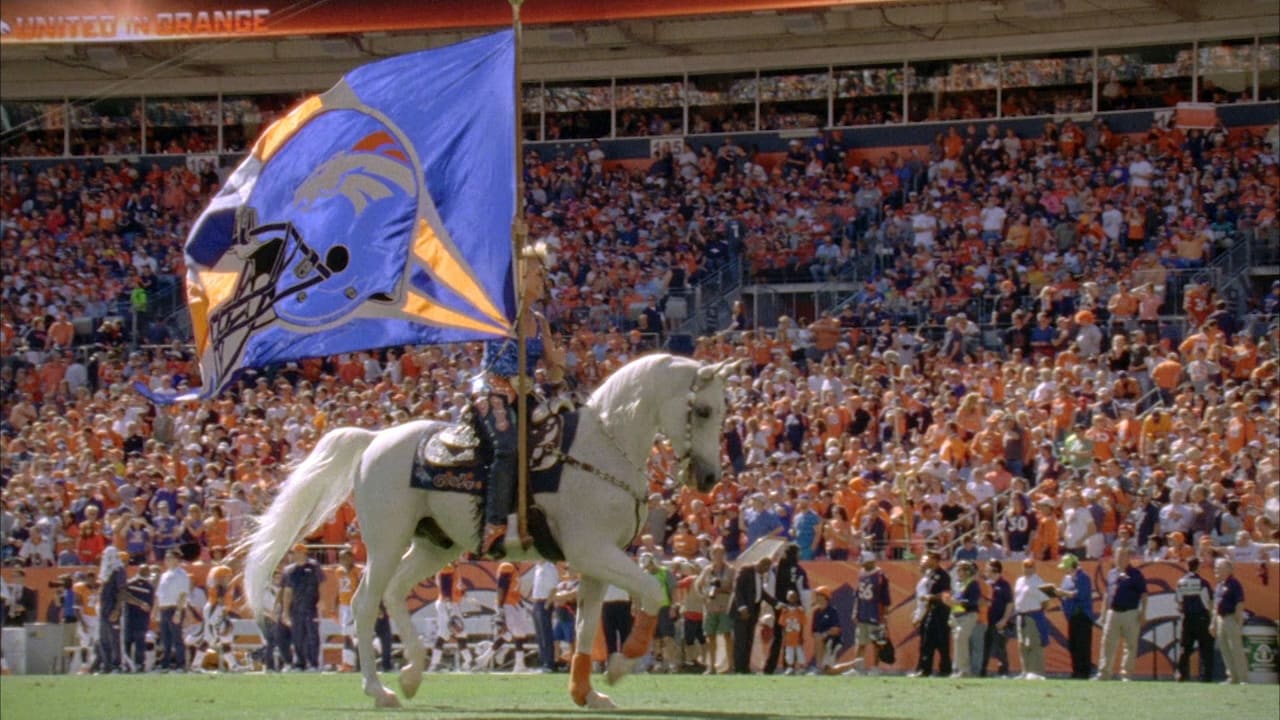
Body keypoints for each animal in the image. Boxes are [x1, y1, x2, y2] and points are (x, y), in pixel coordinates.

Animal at [240, 353, 742, 707]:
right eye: (701, 410)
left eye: (723, 410)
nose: (709, 478)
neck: (603, 448)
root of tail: (374, 440)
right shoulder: (592, 551)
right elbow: (652, 592)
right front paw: (619, 667)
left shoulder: (598, 561)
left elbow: (586, 626)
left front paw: (587, 692)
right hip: (386, 541)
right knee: (366, 603)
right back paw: (379, 689)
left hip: (435, 545)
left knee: (396, 592)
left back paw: (412, 673)